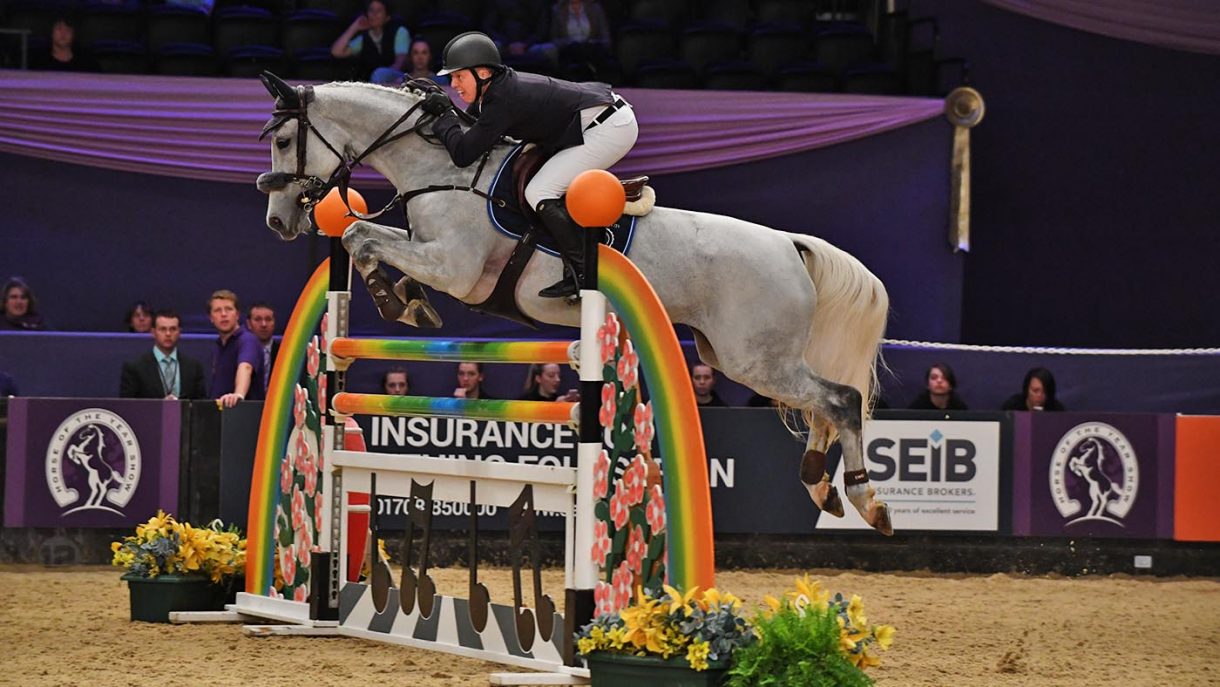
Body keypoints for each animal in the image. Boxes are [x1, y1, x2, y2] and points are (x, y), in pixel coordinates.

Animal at [255, 74, 893, 535]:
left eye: (285, 142)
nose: (279, 222)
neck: (442, 170)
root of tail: (789, 244)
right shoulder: (429, 251)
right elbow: (361, 235)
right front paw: (406, 300)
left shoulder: (454, 268)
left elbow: (360, 236)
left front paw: (401, 303)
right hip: (739, 355)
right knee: (823, 404)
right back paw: (823, 487)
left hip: (753, 359)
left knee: (839, 399)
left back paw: (867, 500)